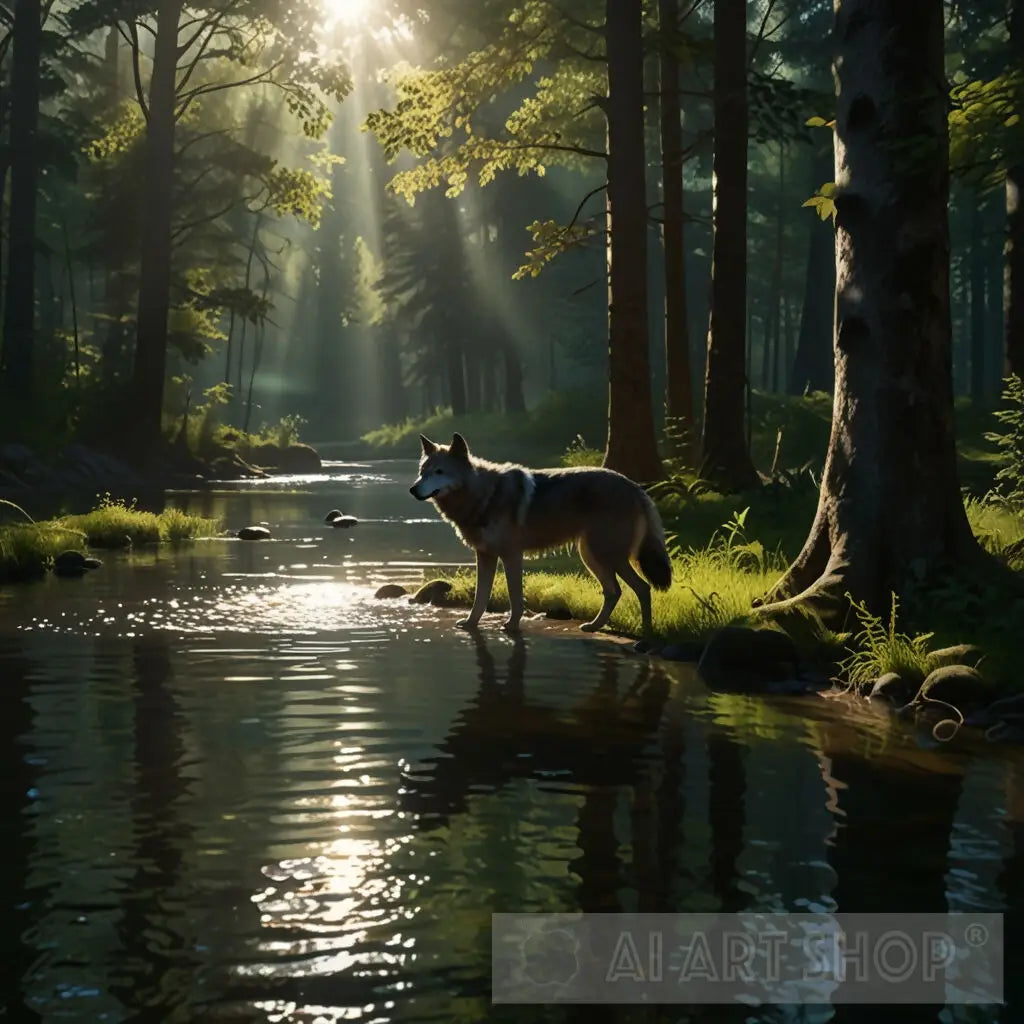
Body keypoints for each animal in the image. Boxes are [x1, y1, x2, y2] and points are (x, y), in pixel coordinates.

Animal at [409, 432, 672, 634]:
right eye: (422, 471)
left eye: (439, 471)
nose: (412, 489)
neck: (483, 495)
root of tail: (635, 486)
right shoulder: (485, 556)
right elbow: (480, 598)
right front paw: (471, 624)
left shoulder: (511, 555)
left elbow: (515, 596)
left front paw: (512, 626)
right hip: (592, 556)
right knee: (614, 591)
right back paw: (594, 626)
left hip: (607, 556)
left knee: (642, 588)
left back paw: (646, 634)